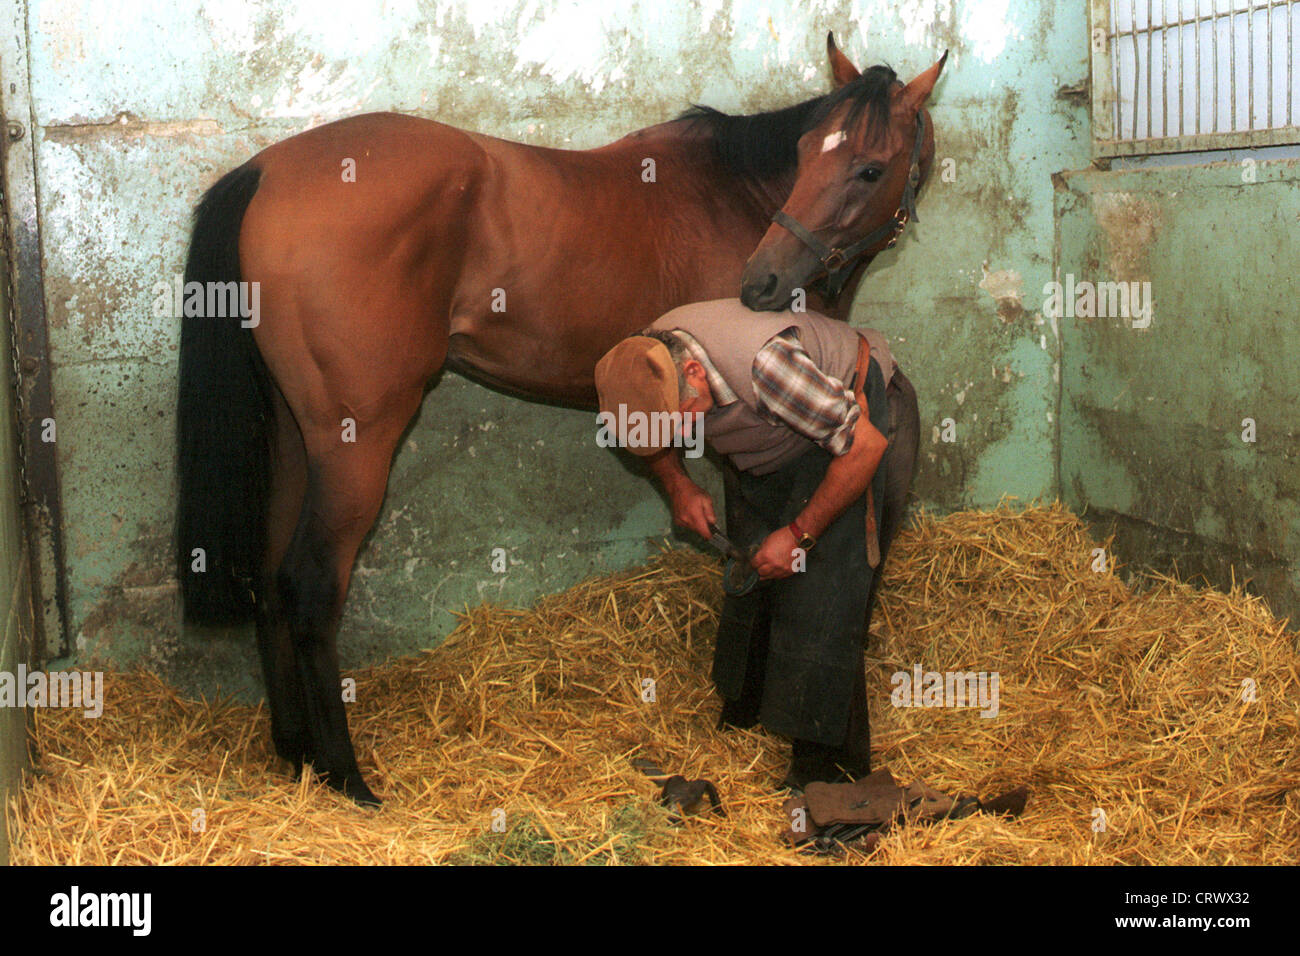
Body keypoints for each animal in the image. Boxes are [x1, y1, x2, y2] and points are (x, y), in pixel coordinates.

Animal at [176, 32, 945, 804]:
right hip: (352, 447)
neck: (736, 195)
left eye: (867, 166)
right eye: (813, 149)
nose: (762, 282)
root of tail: (265, 171)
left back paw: (296, 753)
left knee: (269, 578)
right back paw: (346, 775)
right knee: (308, 586)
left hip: (293, 440)